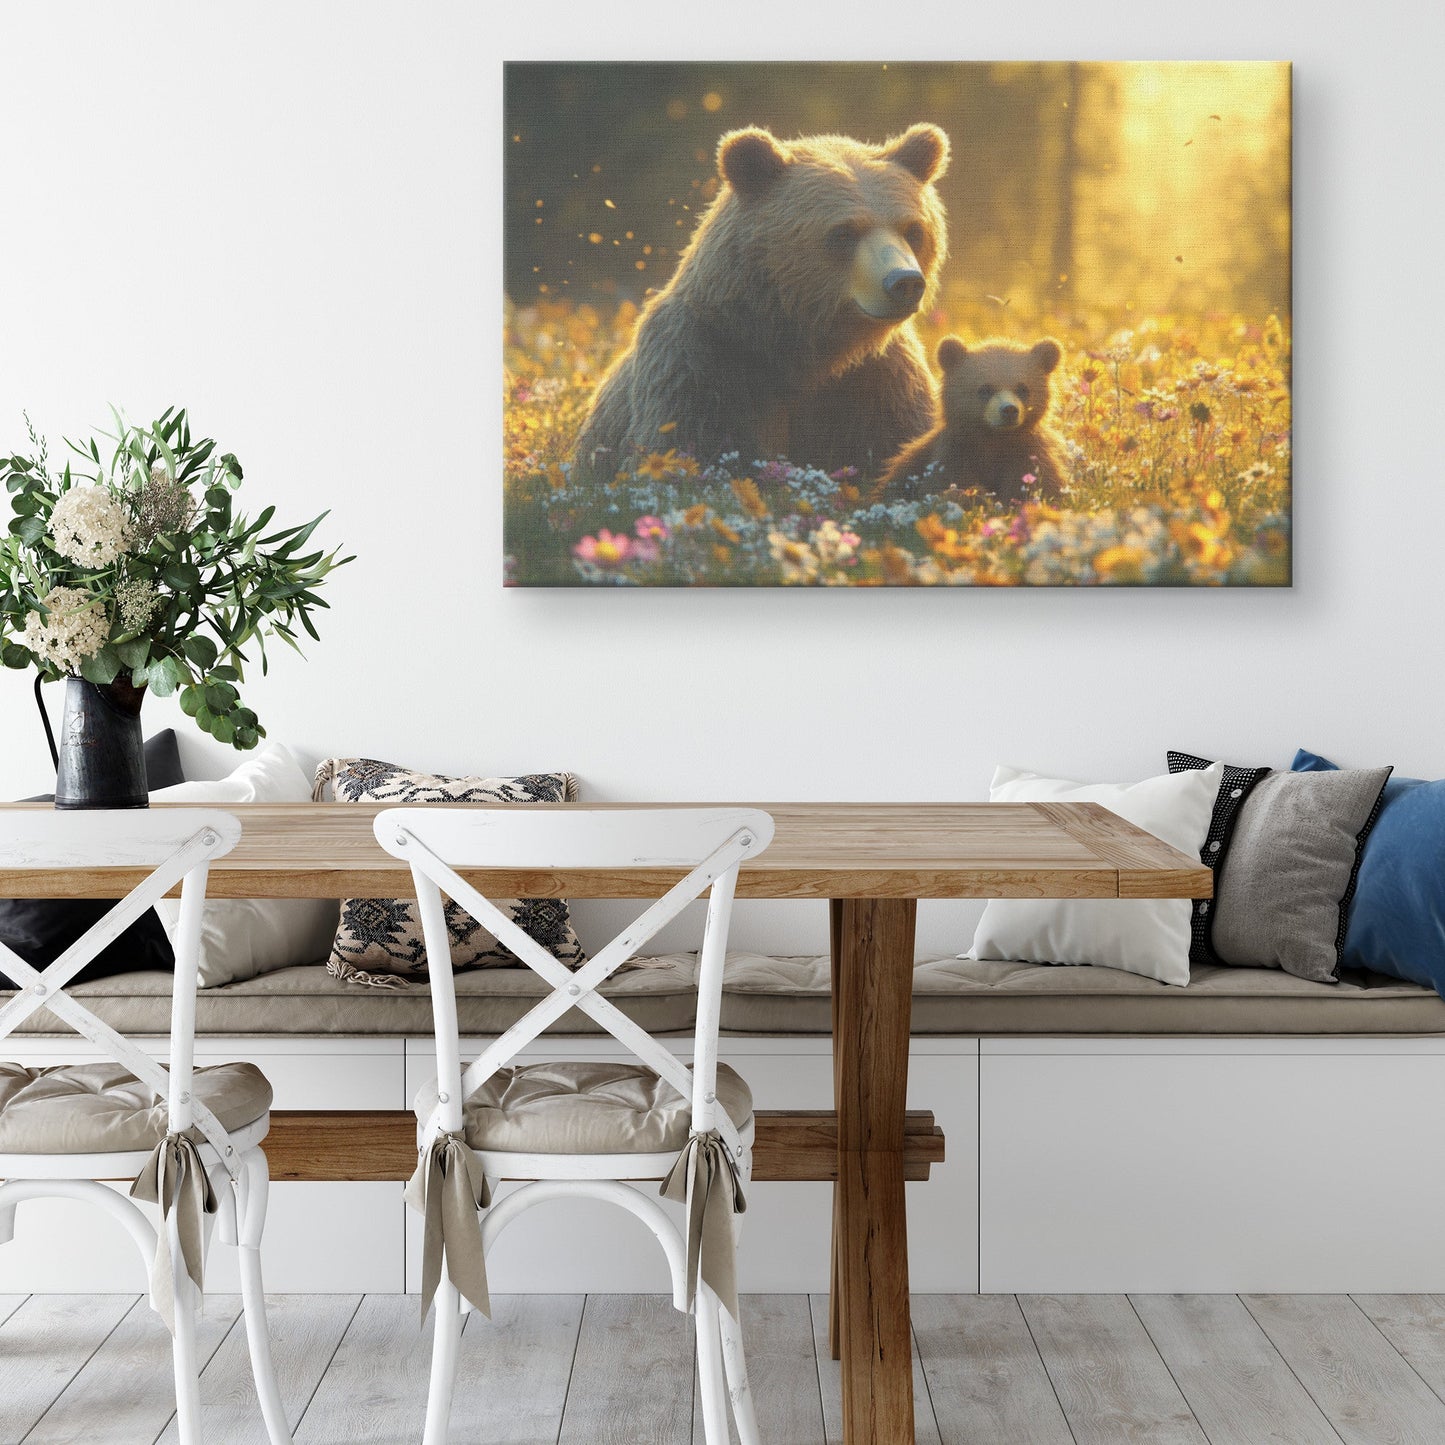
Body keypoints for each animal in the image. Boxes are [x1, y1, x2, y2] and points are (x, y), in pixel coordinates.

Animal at [573, 123, 950, 482]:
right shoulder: (700, 357)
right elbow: (687, 441)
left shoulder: (878, 376)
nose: (904, 282)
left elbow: (903, 436)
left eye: (913, 230)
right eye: (844, 232)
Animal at [879, 336, 1067, 505]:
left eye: (1022, 388)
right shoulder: (955, 455)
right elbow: (946, 485)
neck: (993, 439)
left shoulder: (1027, 454)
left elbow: (1035, 485)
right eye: (985, 389)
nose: (1009, 410)